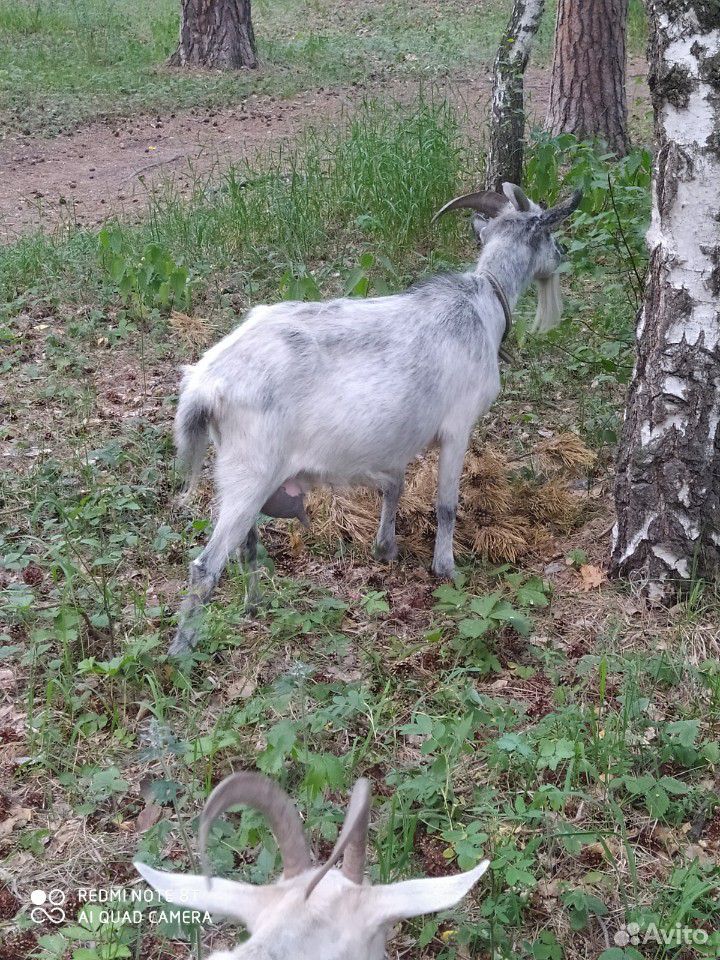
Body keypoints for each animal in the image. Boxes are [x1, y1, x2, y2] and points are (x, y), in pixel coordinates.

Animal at [169, 182, 582, 654]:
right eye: (549, 234)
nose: (563, 252)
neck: (482, 305)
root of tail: (205, 382)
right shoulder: (457, 427)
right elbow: (446, 505)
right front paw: (447, 569)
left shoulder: (390, 446)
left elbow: (394, 485)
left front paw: (385, 548)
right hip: (249, 474)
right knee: (205, 564)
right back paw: (182, 650)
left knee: (246, 546)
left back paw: (254, 608)